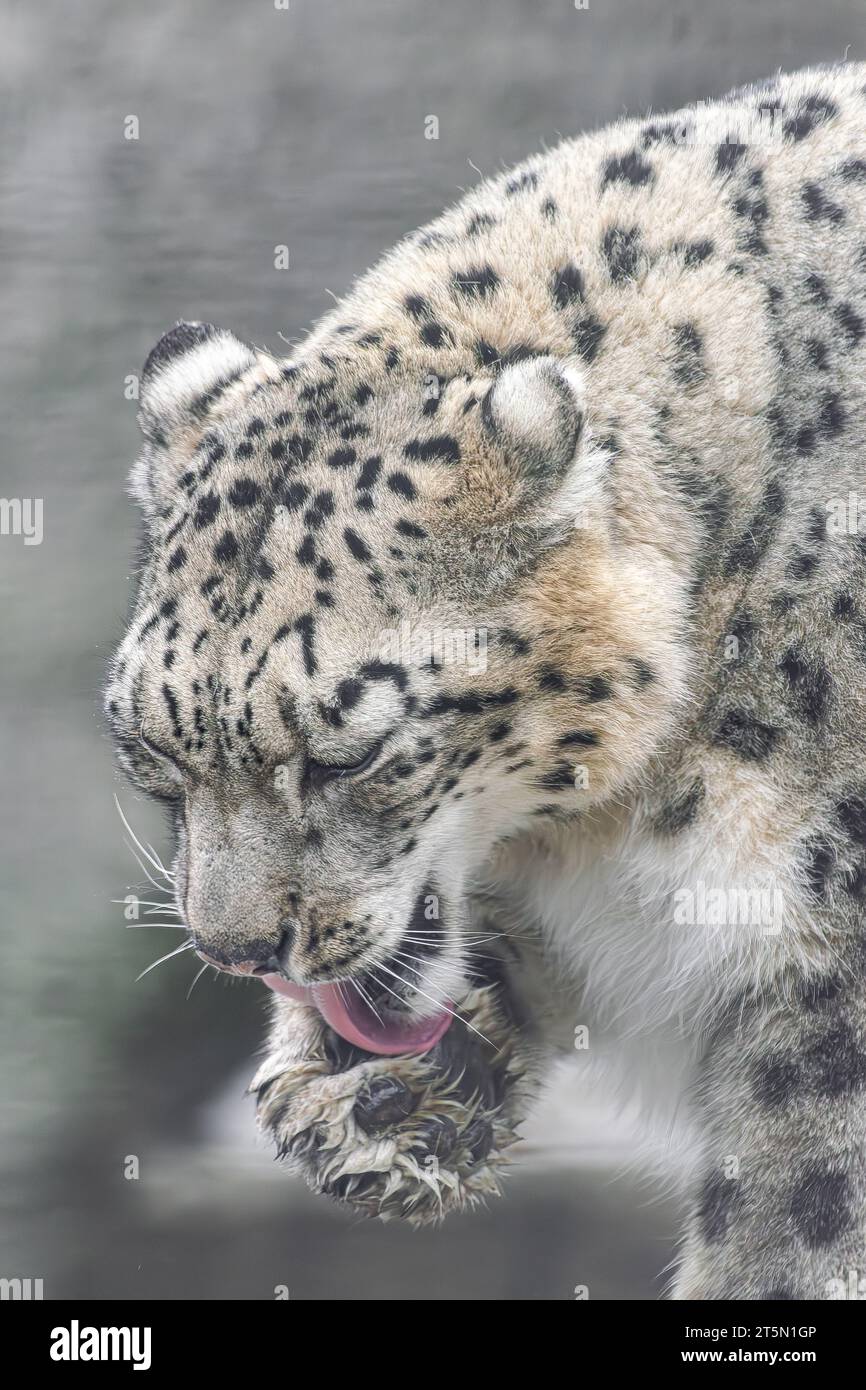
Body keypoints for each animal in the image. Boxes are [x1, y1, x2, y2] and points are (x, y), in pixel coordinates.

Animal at [105, 64, 866, 1299]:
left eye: (349, 756)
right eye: (152, 751)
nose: (238, 952)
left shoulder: (828, 977)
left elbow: (796, 1210)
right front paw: (367, 1107)